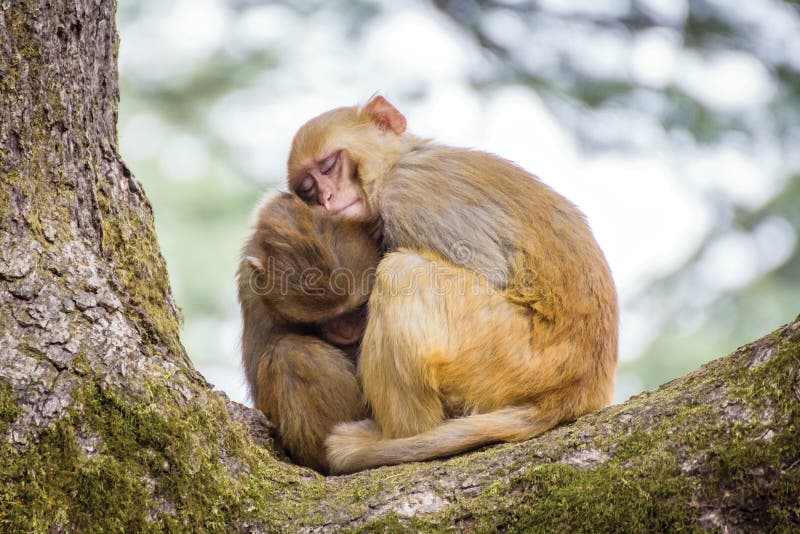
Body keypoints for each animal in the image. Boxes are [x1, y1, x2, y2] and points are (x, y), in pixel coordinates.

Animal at [286, 95, 619, 474]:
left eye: (329, 165)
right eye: (308, 190)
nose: (326, 197)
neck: (396, 163)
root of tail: (581, 386)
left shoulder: (410, 194)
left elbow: (489, 271)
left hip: (510, 355)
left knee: (404, 271)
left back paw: (399, 437)